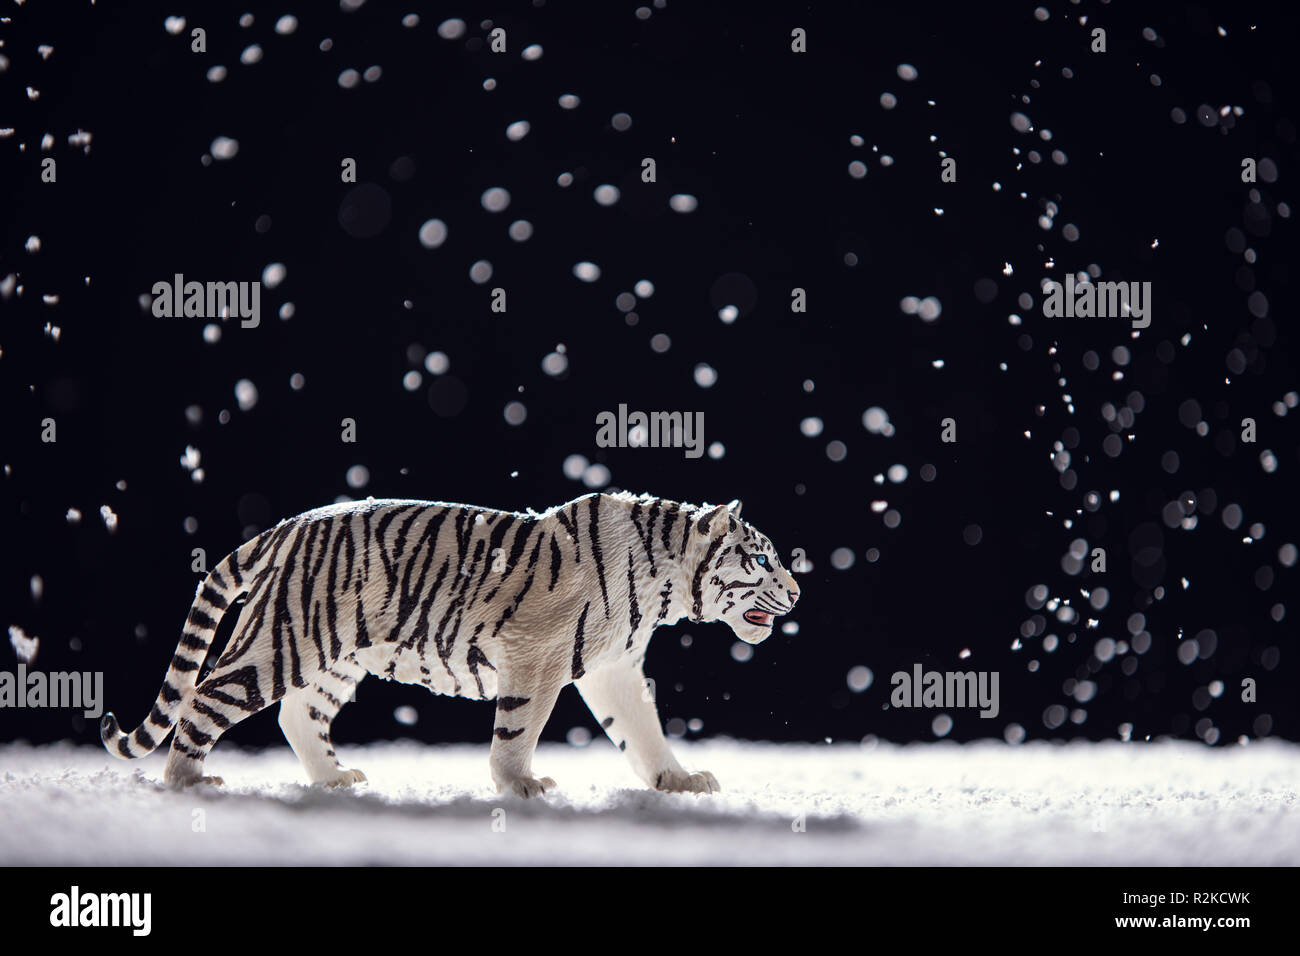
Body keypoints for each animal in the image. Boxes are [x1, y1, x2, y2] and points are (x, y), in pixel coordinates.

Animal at [100, 492, 800, 796]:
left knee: (298, 715)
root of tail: (288, 526)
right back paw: (189, 781)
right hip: (285, 639)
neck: (664, 586)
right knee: (206, 696)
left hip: (334, 656)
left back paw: (335, 780)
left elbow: (644, 732)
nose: (797, 592)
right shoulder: (535, 659)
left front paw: (678, 780)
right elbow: (517, 732)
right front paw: (520, 786)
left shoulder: (614, 669)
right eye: (763, 558)